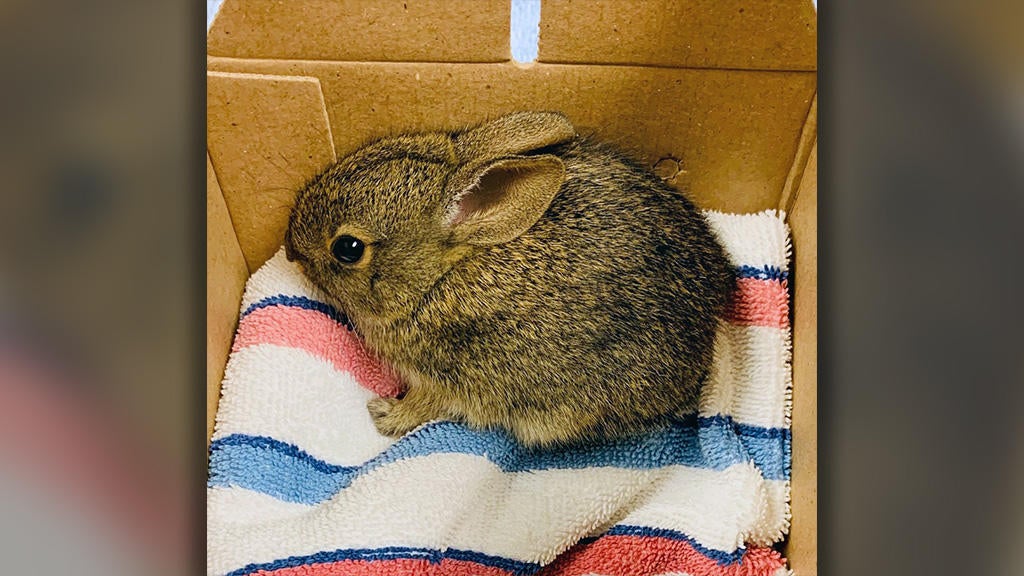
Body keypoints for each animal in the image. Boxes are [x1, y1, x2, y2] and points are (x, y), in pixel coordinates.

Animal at [284, 111, 735, 448]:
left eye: (348, 248)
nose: (290, 248)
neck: (436, 278)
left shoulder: (445, 378)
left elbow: (423, 407)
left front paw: (384, 415)